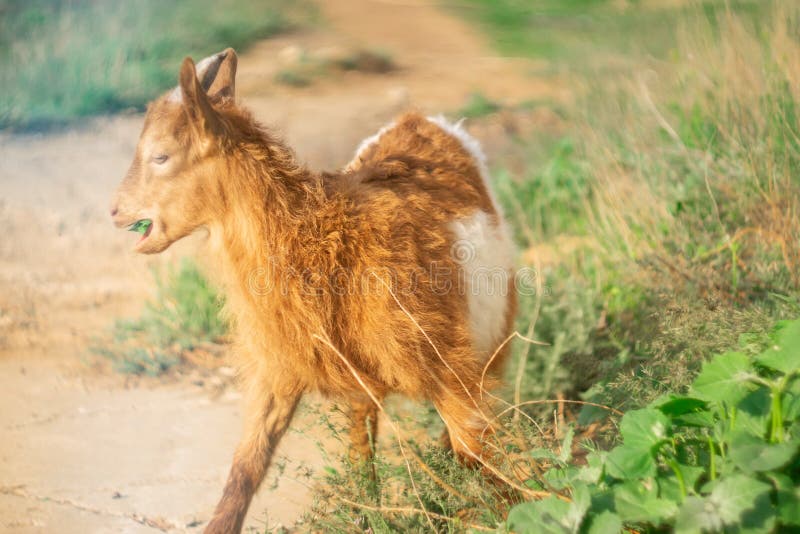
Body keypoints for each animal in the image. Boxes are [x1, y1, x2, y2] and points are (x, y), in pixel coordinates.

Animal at [110, 48, 517, 533]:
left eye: (161, 156)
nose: (115, 211)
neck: (317, 237)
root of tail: (424, 121)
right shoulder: (278, 366)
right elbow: (245, 467)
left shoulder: (448, 368)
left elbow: (480, 456)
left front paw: (507, 511)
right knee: (362, 434)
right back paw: (367, 505)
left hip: (491, 340)